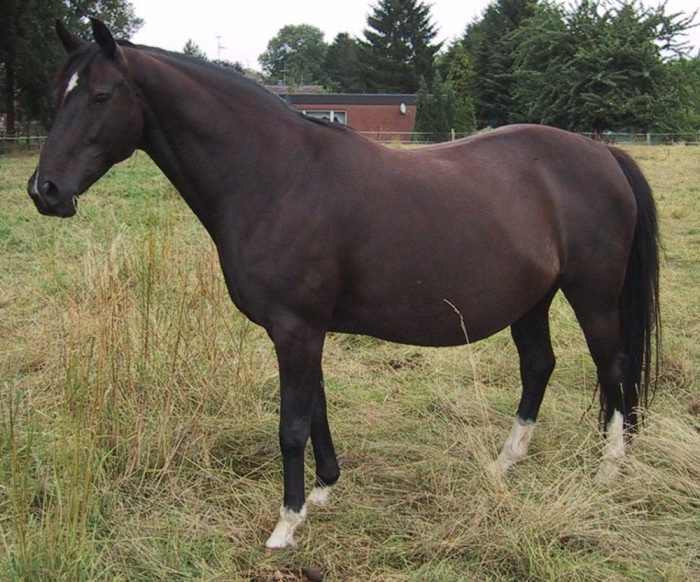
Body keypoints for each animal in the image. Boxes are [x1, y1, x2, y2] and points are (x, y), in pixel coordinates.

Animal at [27, 19, 660, 549]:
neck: (277, 176)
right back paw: (503, 465)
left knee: (613, 367)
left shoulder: (296, 330)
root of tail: (601, 152)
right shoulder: (304, 330)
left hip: (593, 297)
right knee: (538, 366)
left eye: (101, 95)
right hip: (532, 300)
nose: (45, 190)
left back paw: (608, 470)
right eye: (57, 94)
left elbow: (291, 424)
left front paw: (285, 525)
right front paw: (323, 491)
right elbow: (317, 409)